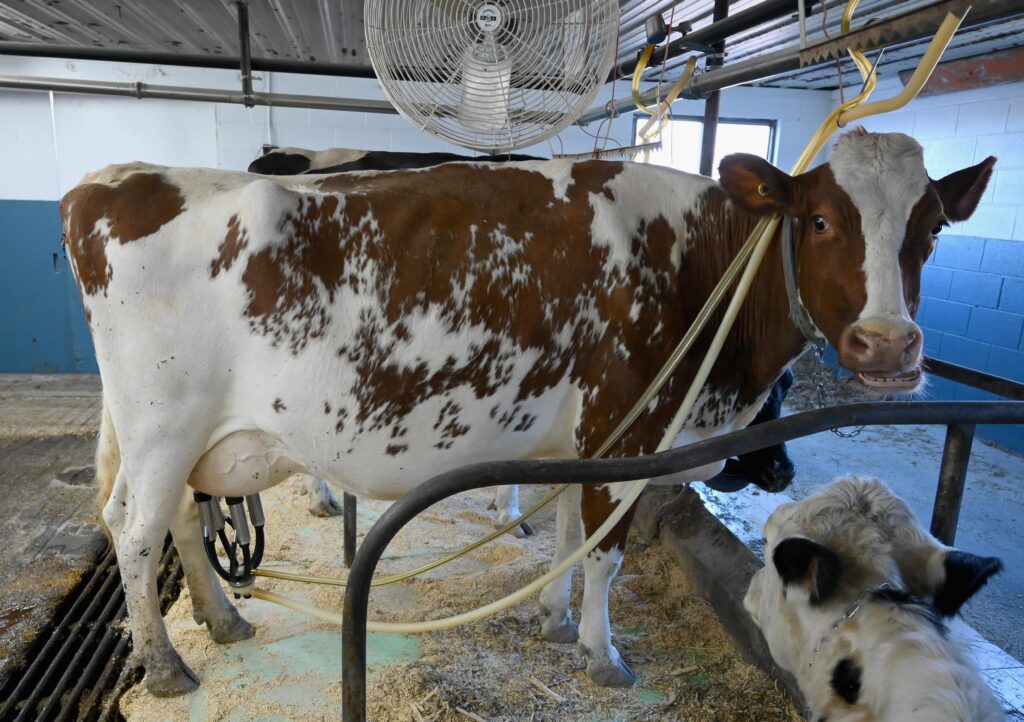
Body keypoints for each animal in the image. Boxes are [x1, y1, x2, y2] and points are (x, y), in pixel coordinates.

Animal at [60, 129, 993, 696]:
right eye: (821, 218)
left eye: (932, 228)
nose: (888, 346)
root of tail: (106, 183)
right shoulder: (631, 427)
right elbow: (604, 552)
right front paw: (601, 653)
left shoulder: (583, 436)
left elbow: (566, 535)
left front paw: (552, 620)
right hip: (164, 423)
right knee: (135, 533)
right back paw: (165, 663)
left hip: (175, 437)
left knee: (173, 516)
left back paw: (221, 619)